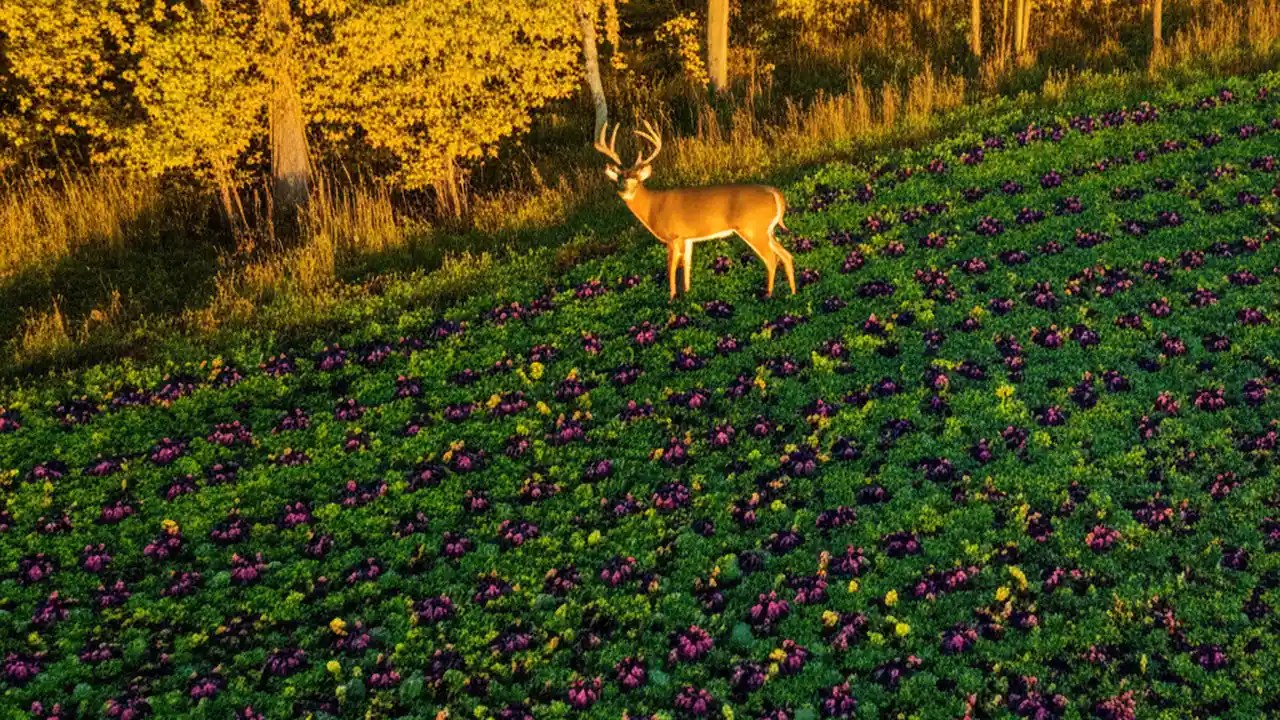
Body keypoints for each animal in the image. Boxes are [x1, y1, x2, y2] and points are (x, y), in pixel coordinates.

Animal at [594, 119, 796, 300]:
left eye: (635, 178)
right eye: (619, 178)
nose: (623, 189)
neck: (652, 207)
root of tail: (775, 193)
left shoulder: (673, 236)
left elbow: (671, 268)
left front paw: (672, 298)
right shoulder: (687, 238)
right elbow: (687, 265)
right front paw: (688, 293)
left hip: (753, 228)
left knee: (772, 259)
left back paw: (769, 294)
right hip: (766, 230)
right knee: (786, 255)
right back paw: (793, 292)